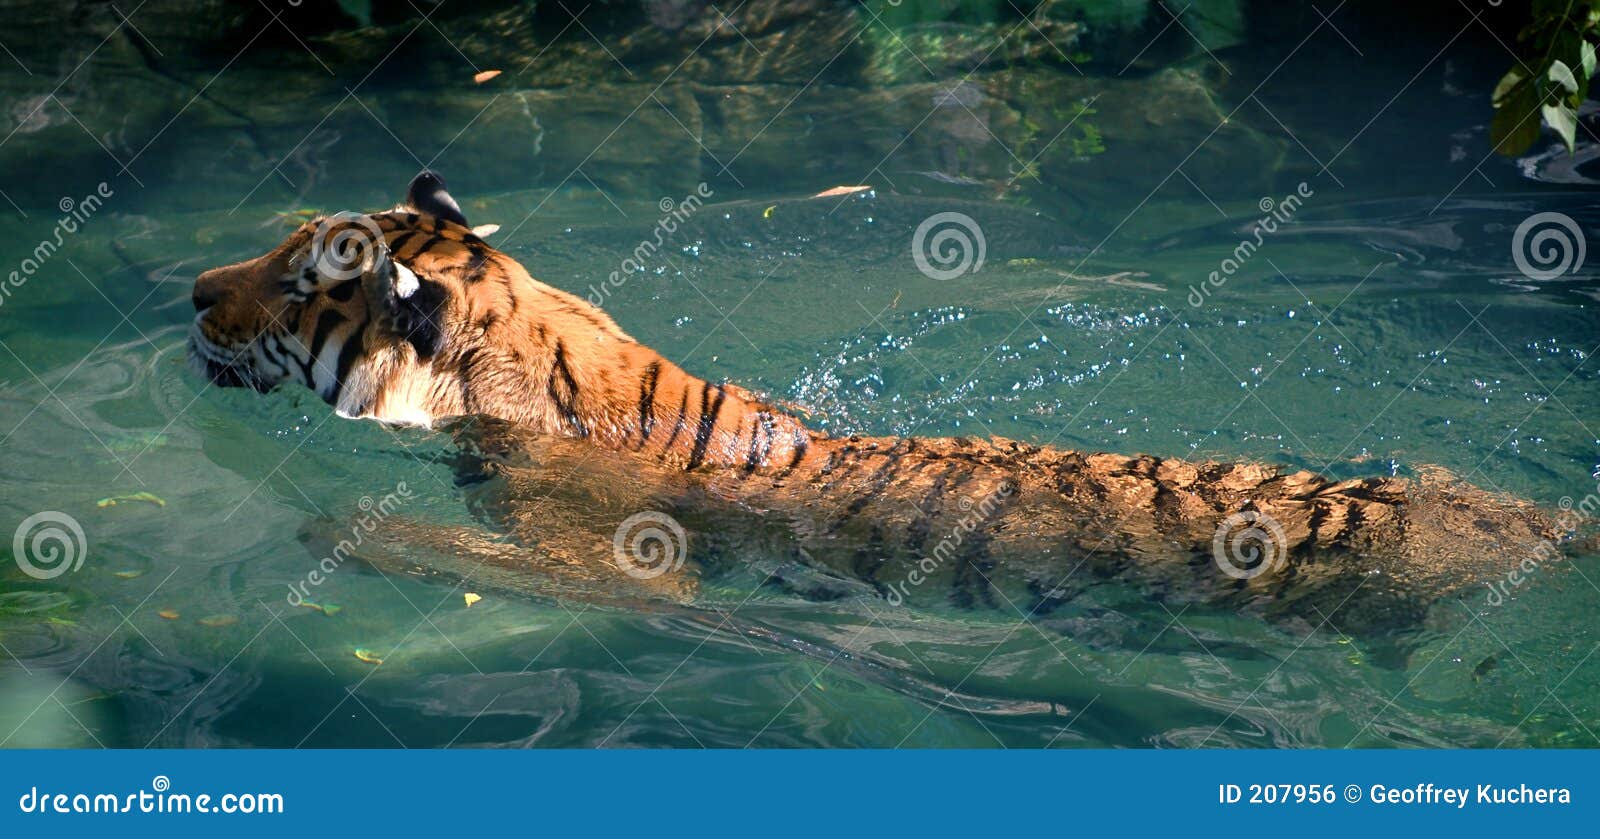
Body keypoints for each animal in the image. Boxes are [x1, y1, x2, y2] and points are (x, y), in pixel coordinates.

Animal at [190, 172, 1562, 639]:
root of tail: (1535, 518)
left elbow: (416, 540)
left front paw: (327, 533)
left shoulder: (607, 562)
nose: (191, 289)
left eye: (298, 279)